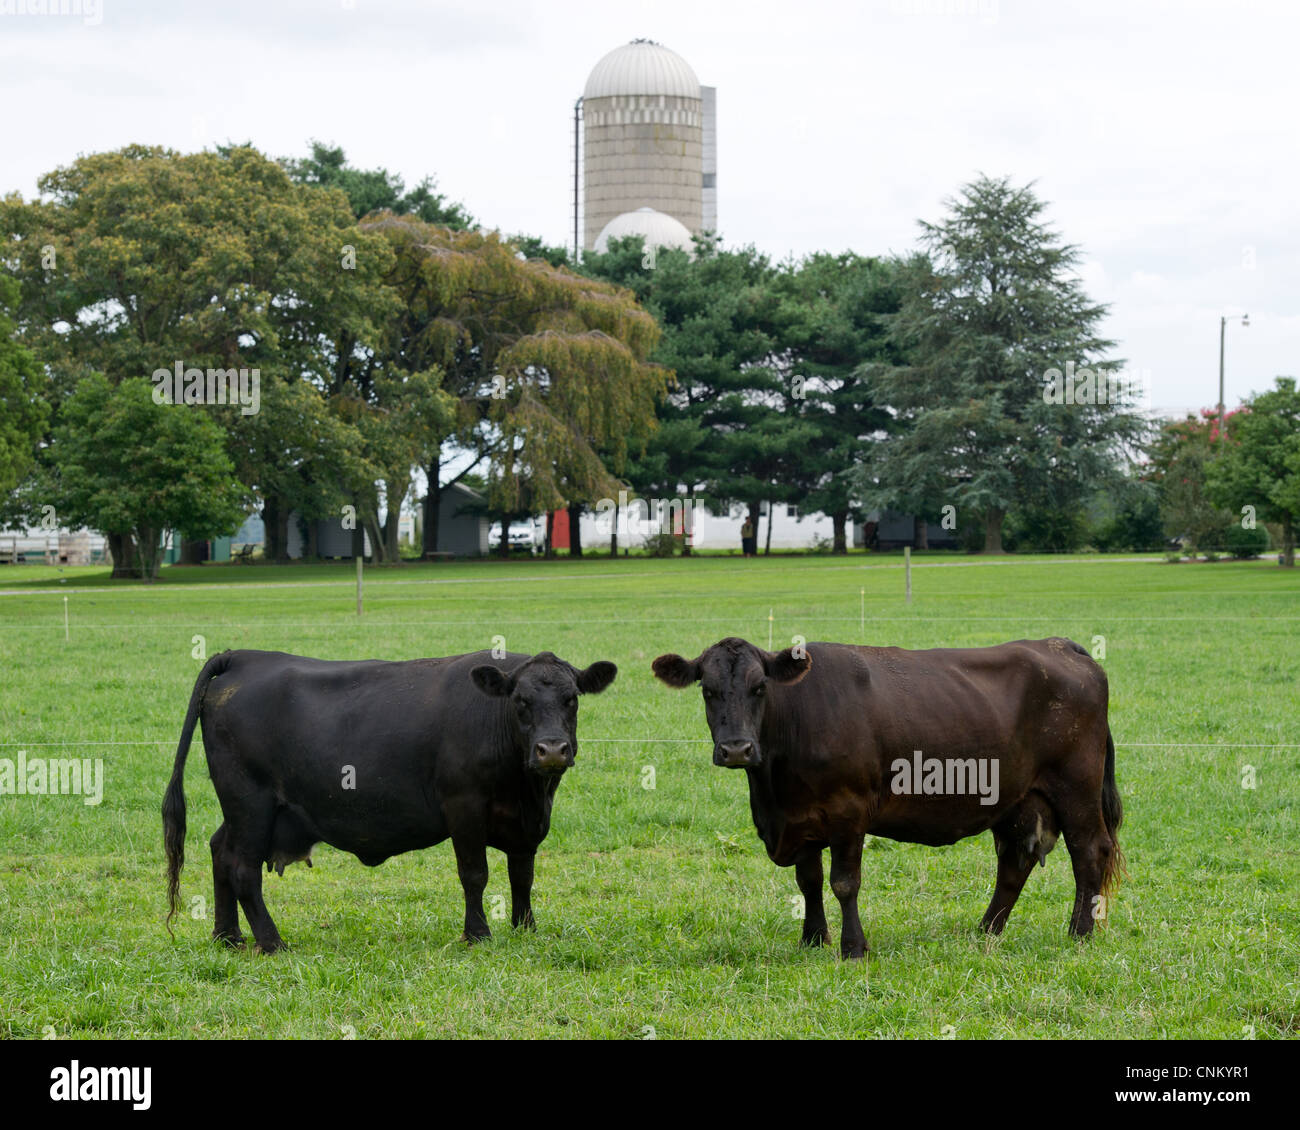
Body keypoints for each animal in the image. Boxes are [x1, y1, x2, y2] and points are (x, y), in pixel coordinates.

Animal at [163, 647, 617, 953]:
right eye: (520, 701)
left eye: (572, 699)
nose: (552, 749)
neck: (526, 791)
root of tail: (243, 656)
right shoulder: (464, 807)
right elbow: (475, 874)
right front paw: (478, 934)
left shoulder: (527, 824)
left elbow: (522, 876)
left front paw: (526, 929)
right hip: (250, 801)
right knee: (243, 868)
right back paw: (272, 942)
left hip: (247, 810)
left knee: (220, 850)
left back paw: (228, 936)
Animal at [652, 637, 1123, 959]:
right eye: (707, 690)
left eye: (759, 688)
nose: (736, 749)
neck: (773, 792)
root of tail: (1058, 645)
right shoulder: (801, 820)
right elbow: (809, 882)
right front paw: (812, 939)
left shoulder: (848, 812)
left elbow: (844, 883)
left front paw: (853, 947)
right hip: (1017, 800)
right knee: (1014, 863)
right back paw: (986, 930)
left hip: (1076, 787)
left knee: (1088, 851)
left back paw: (1080, 932)